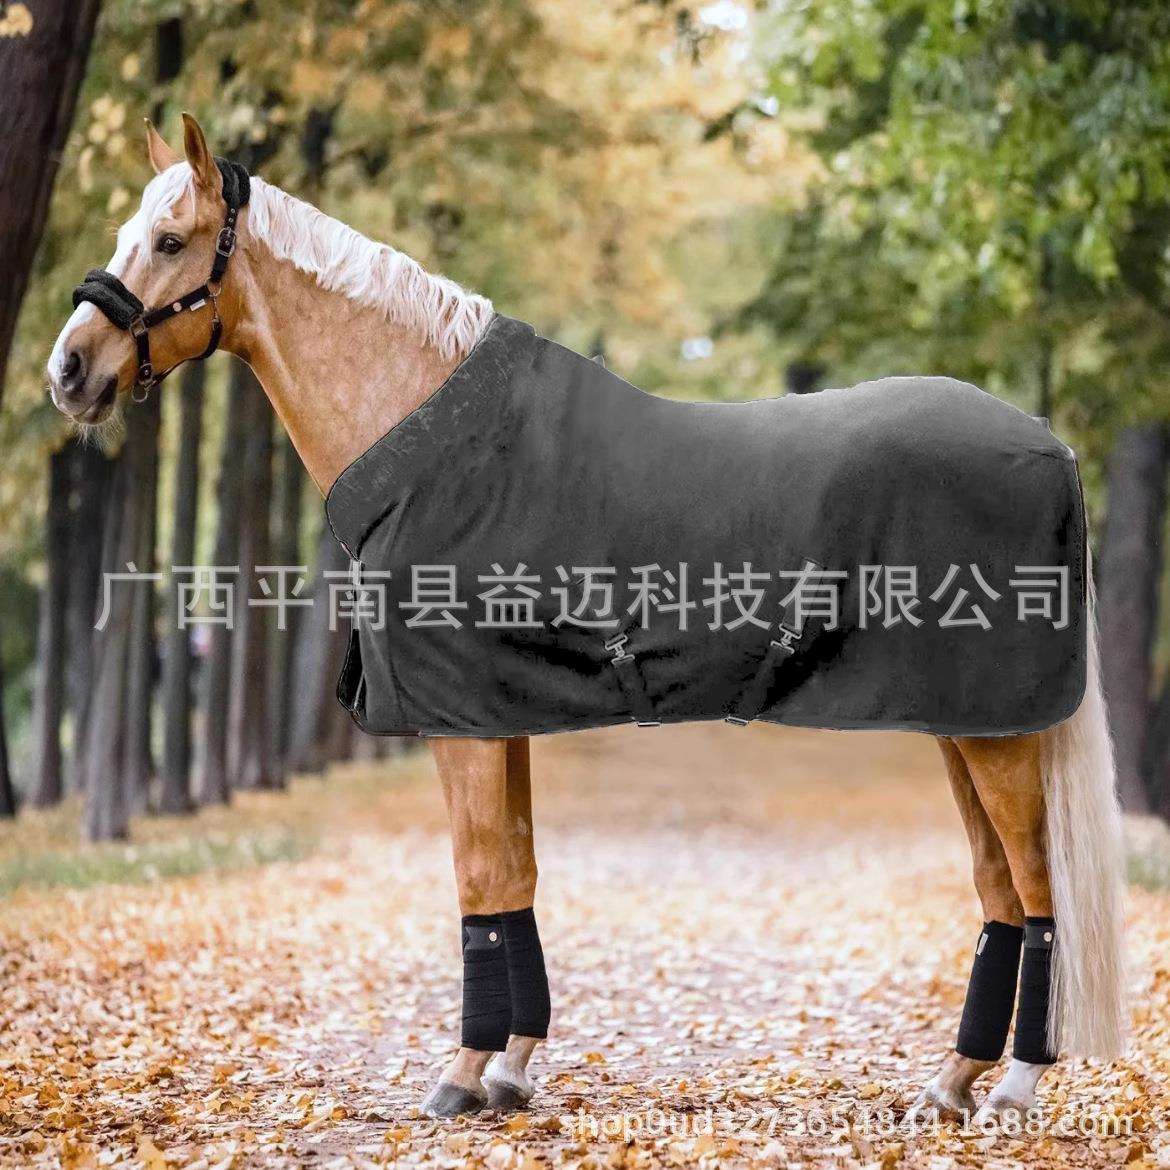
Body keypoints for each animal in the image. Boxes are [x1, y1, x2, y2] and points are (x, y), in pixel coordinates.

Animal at [47, 115, 1127, 1123]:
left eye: (172, 239)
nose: (68, 371)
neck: (436, 442)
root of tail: (1051, 445)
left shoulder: (460, 723)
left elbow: (481, 881)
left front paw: (462, 1074)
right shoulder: (500, 713)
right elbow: (517, 875)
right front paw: (513, 1068)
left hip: (995, 732)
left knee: (1039, 888)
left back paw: (1016, 1085)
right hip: (962, 725)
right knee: (999, 890)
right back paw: (950, 1084)